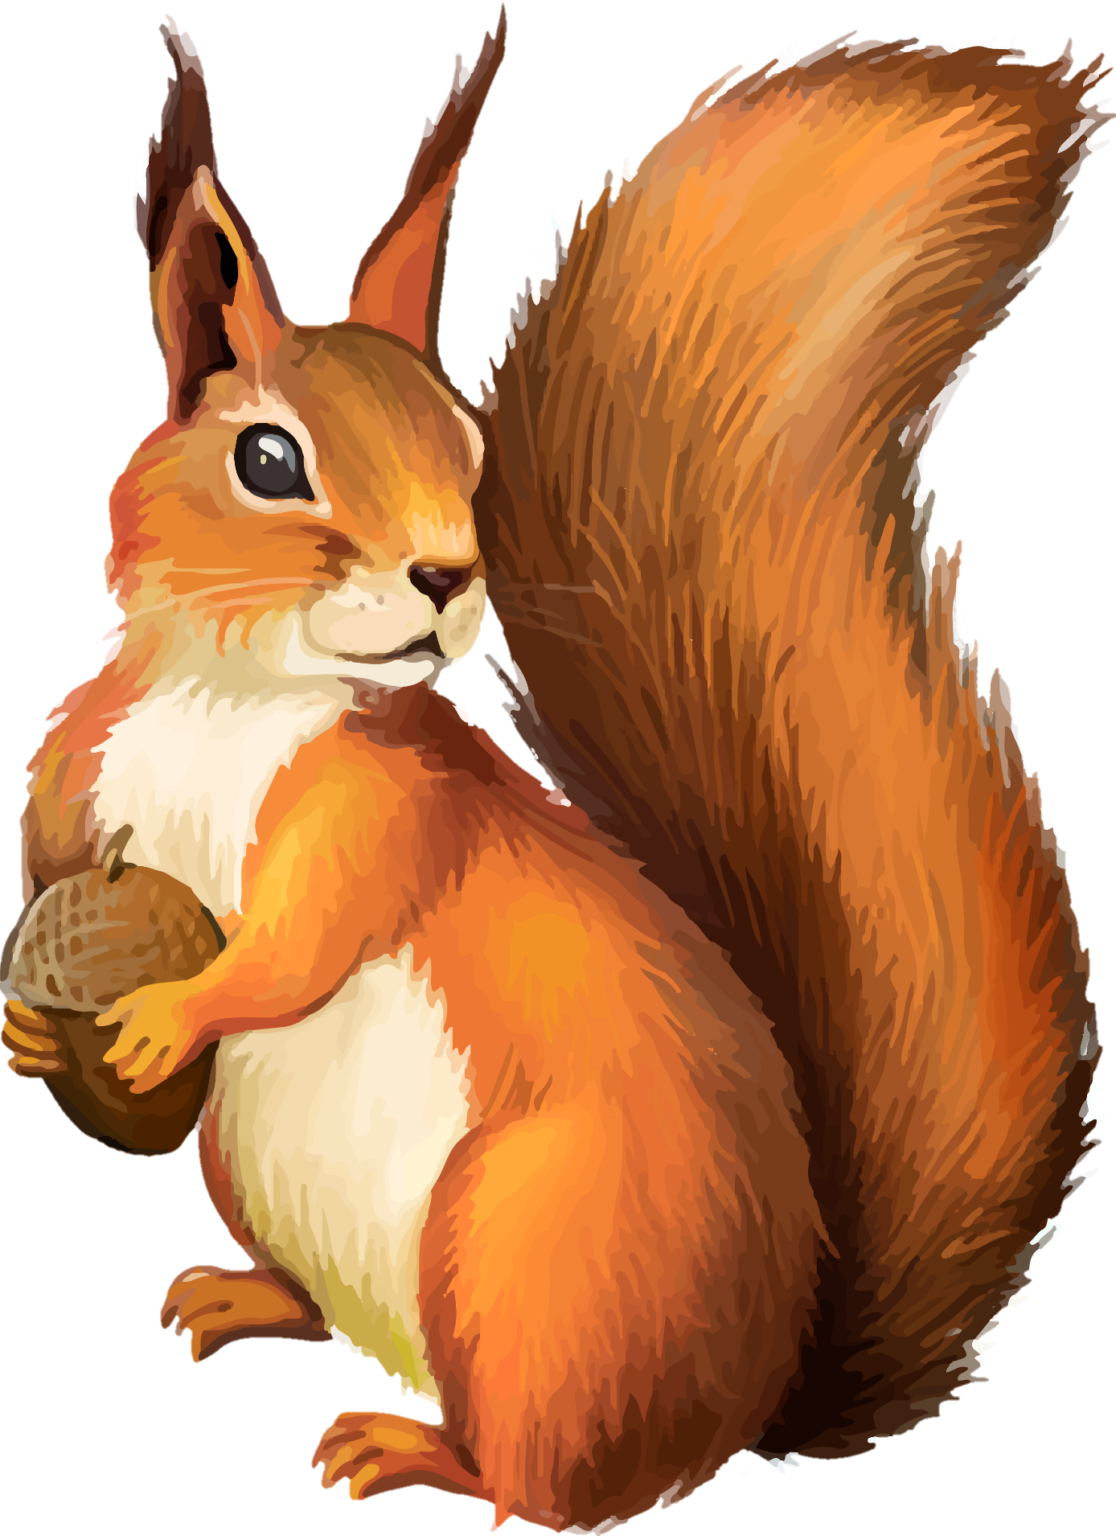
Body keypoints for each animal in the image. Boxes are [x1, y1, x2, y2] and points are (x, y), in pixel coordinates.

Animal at [1, 8, 1108, 1531]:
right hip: (273, 1180)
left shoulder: (384, 813)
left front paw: (175, 1012)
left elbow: (298, 942)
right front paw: (30, 1031)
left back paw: (407, 1451)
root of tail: (754, 1401)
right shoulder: (76, 773)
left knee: (534, 1482)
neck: (232, 689)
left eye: (466, 444)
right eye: (269, 459)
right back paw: (244, 1302)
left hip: (524, 1257)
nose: (448, 573)